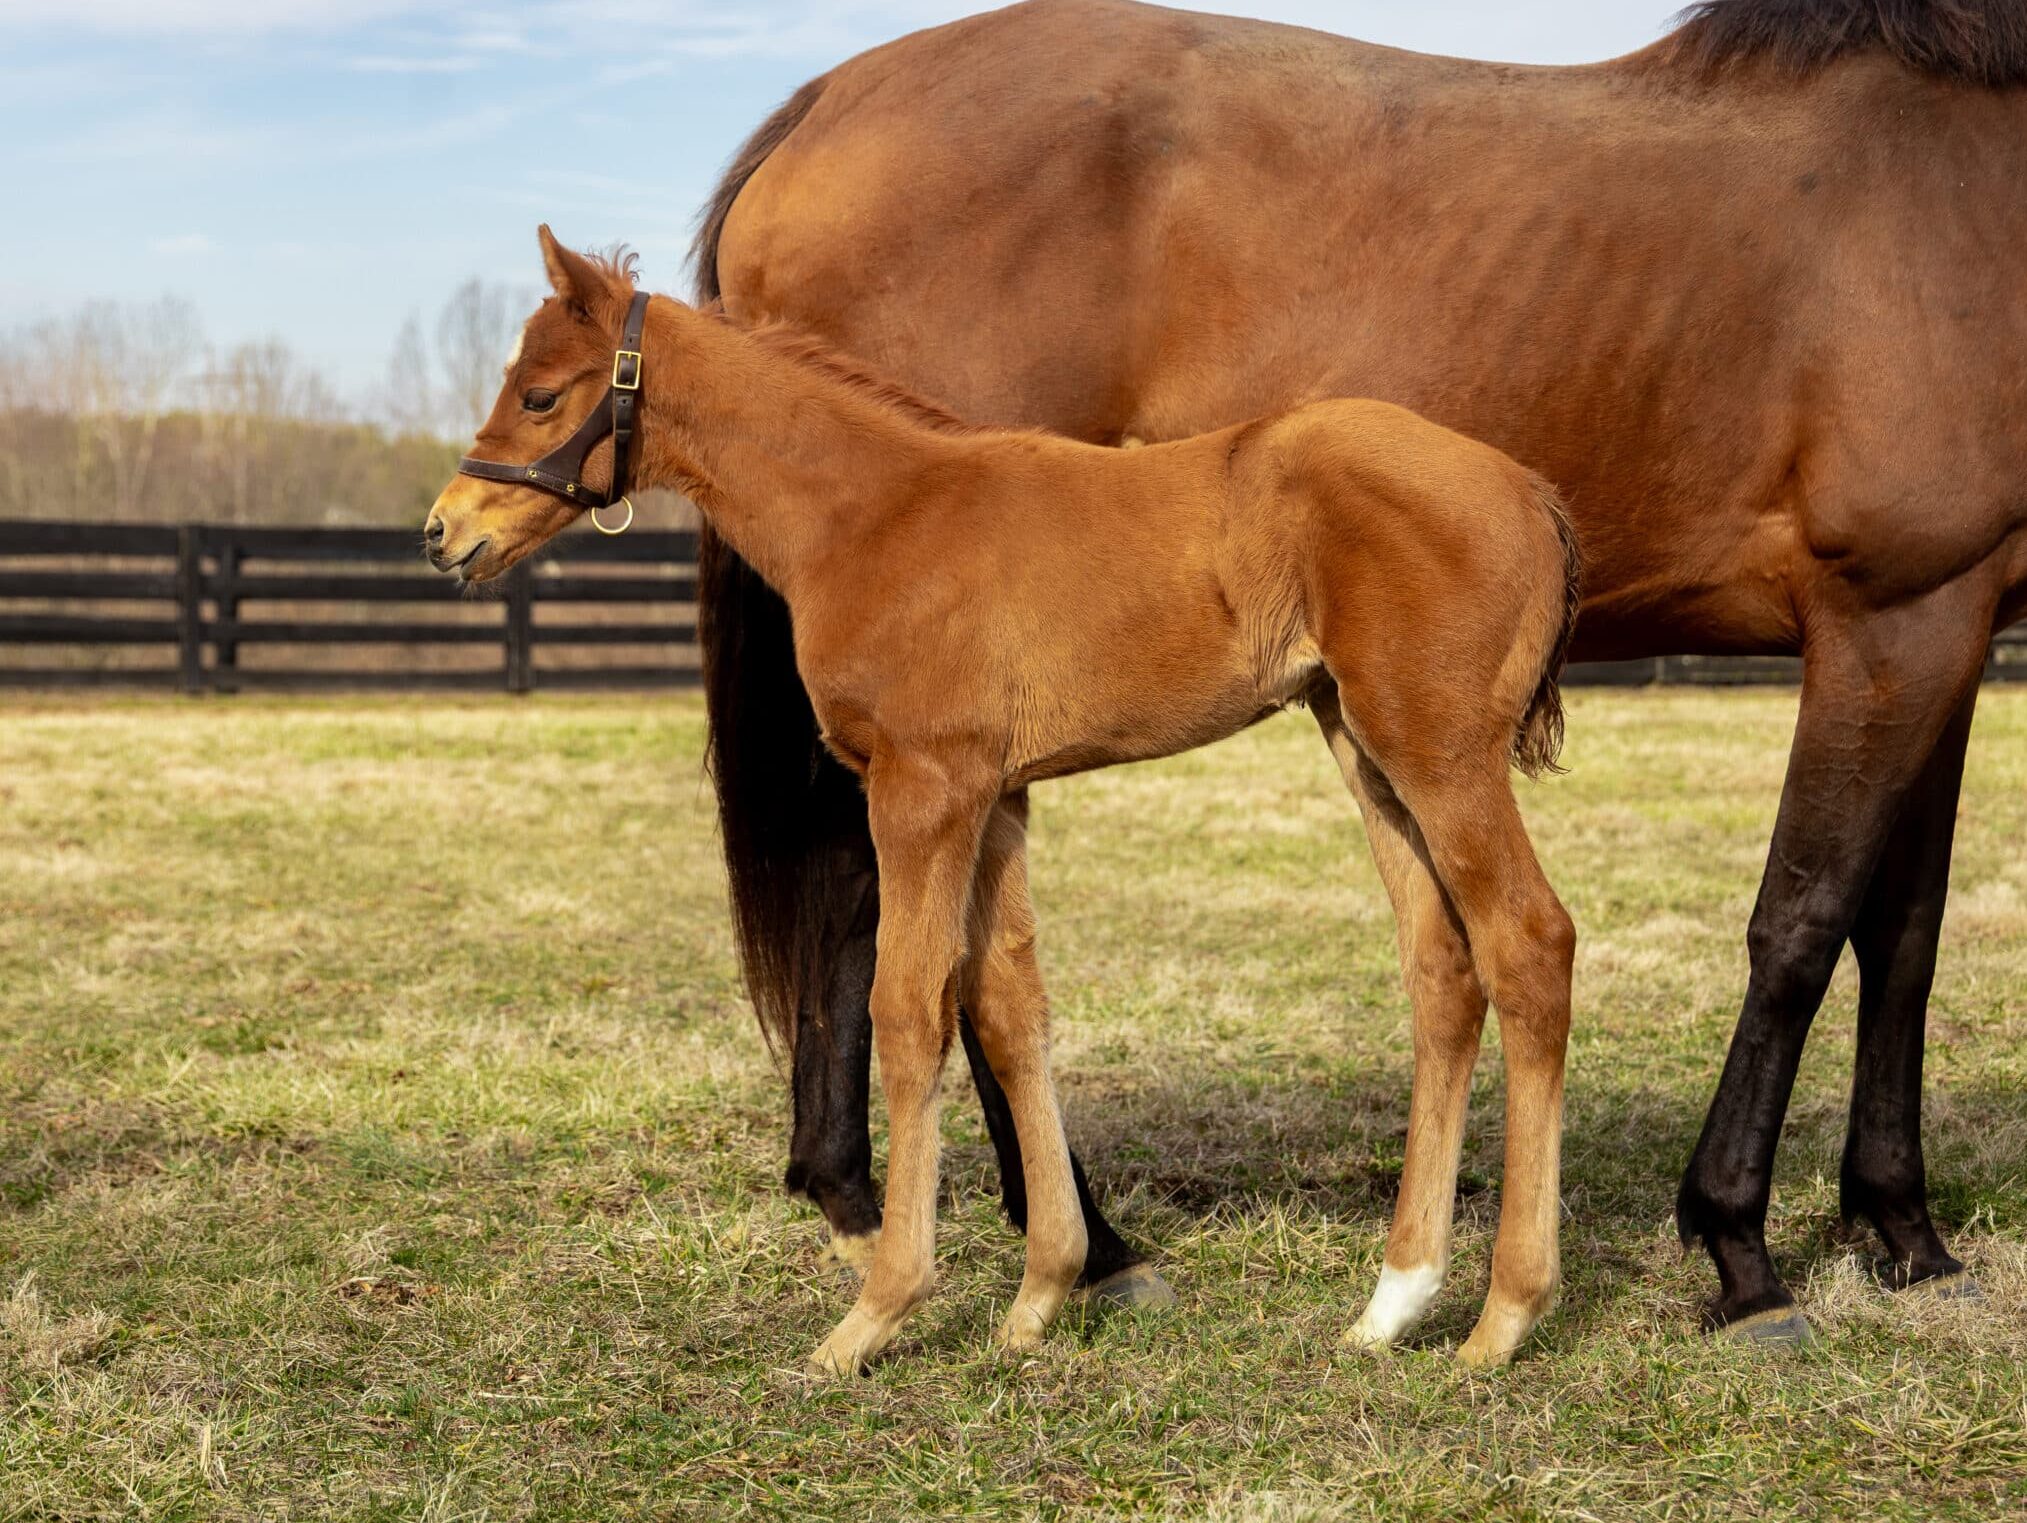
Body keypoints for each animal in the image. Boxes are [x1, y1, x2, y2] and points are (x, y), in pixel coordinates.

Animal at [423, 227, 1582, 1369]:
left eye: (539, 394)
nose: (443, 531)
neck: (874, 512)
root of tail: (1527, 489)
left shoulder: (922, 788)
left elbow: (908, 1008)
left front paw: (877, 1311)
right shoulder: (997, 797)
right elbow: (1009, 1007)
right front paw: (1041, 1295)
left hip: (1437, 752)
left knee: (1528, 943)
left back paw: (1502, 1315)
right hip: (1362, 747)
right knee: (1442, 968)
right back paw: (1394, 1300)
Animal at [693, 0, 2027, 1343]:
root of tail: (828, 98)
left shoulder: (1949, 625)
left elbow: (1902, 931)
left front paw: (1904, 1231)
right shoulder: (1884, 615)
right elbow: (1800, 921)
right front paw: (1741, 1251)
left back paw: (886, 1204)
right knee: (906, 927)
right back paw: (1074, 1247)